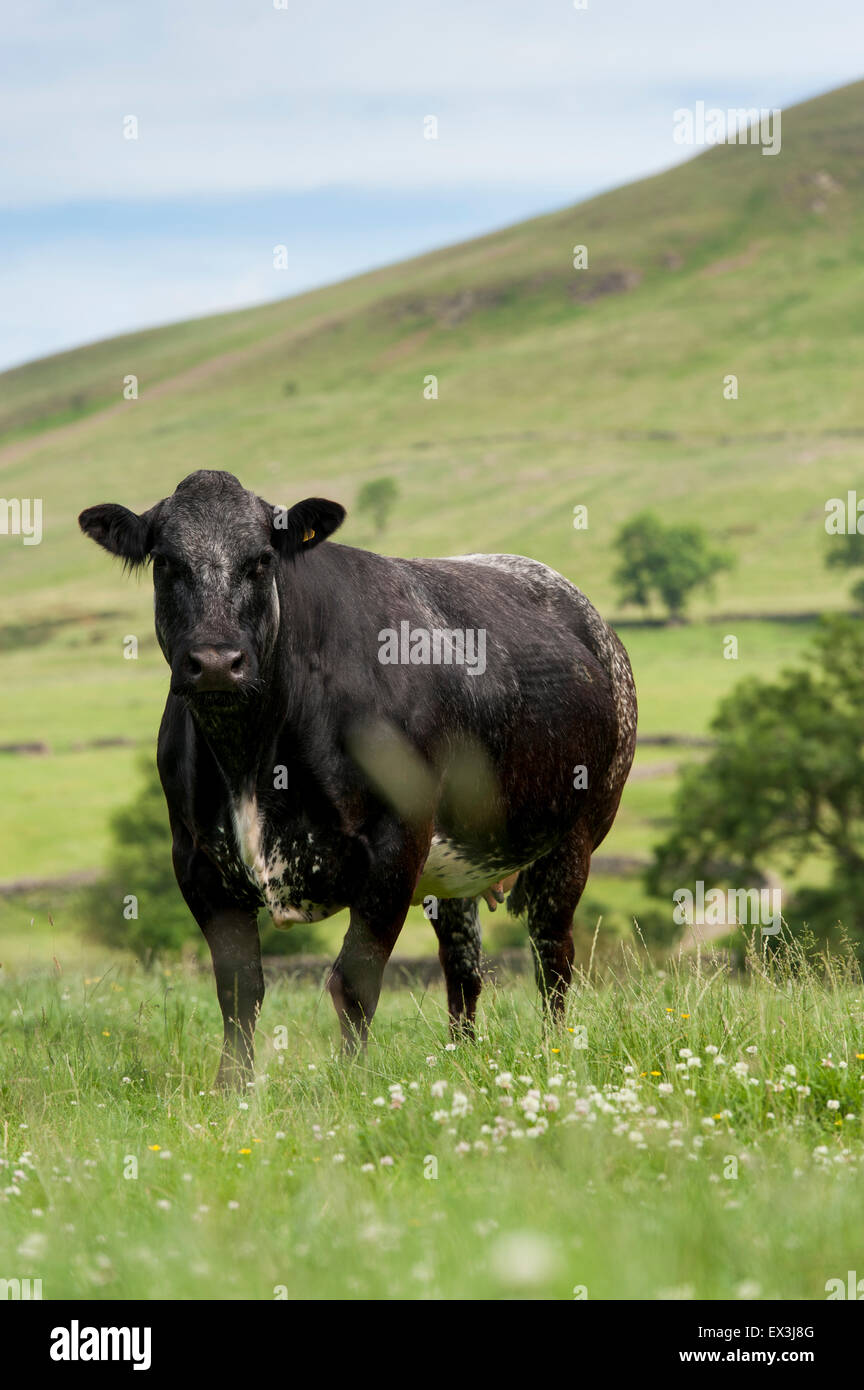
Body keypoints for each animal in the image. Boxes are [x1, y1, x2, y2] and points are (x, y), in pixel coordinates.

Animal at [80, 469, 637, 1088]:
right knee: (463, 967)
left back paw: (553, 1053)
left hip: (574, 840)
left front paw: (351, 1083)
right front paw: (233, 1091)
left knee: (552, 957)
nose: (217, 662)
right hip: (455, 867)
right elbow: (238, 989)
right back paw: (461, 1057)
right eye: (166, 562)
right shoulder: (197, 860)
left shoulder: (395, 844)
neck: (252, 755)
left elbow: (354, 981)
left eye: (261, 561)